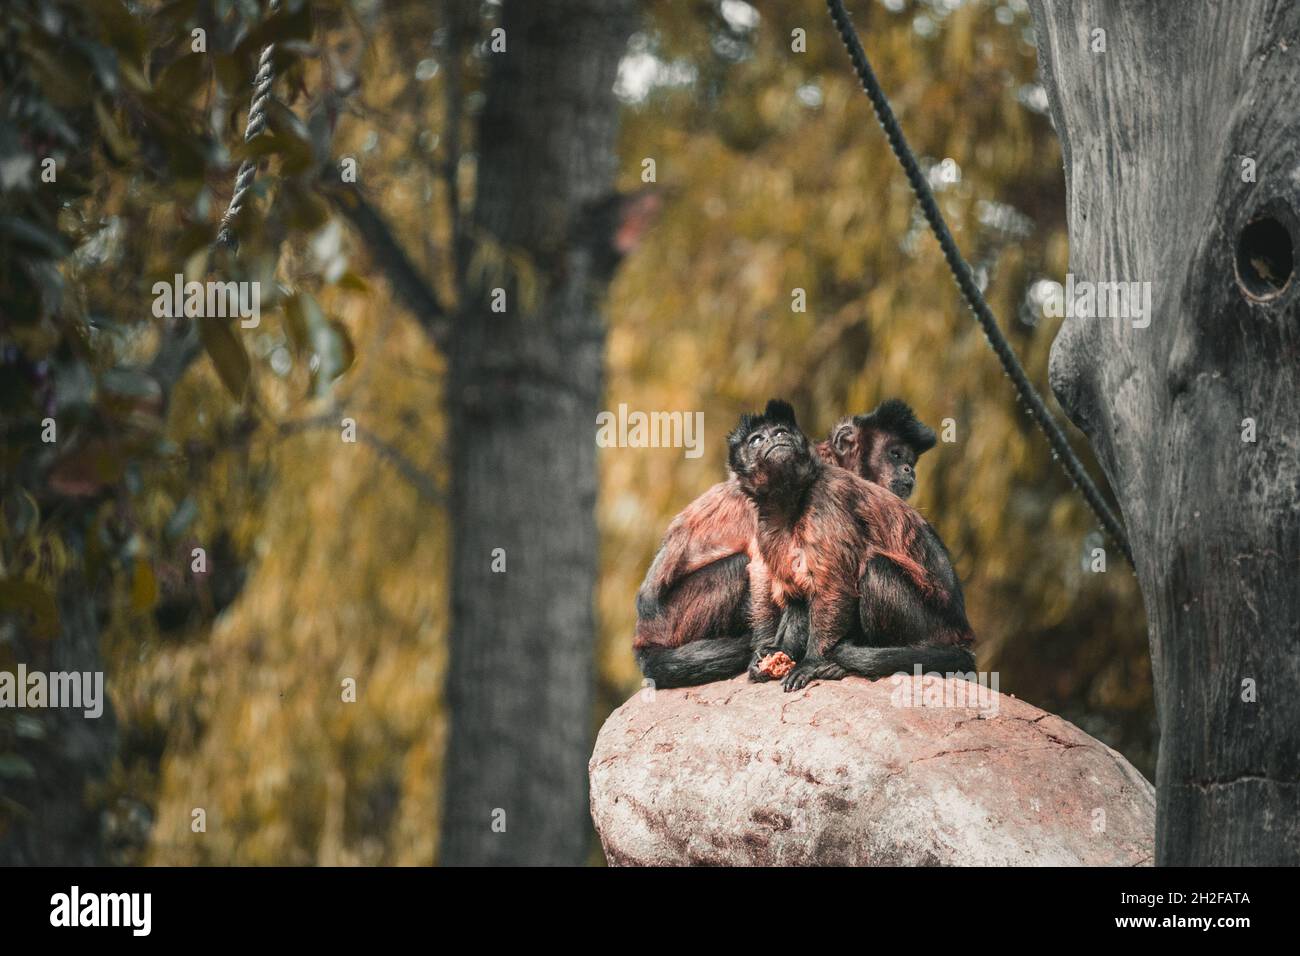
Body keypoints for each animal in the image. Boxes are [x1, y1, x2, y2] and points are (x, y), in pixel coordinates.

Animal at [632, 399, 937, 688]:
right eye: (895, 454)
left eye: (910, 459)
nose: (909, 469)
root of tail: (643, 634)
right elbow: (765, 570)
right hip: (675, 618)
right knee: (741, 564)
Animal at [727, 399, 974, 693]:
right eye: (757, 440)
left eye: (779, 432)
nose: (776, 439)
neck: (791, 502)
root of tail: (959, 632)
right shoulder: (767, 527)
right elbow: (797, 595)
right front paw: (778, 654)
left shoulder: (827, 497)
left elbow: (835, 586)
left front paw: (811, 662)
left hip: (929, 627)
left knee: (875, 568)